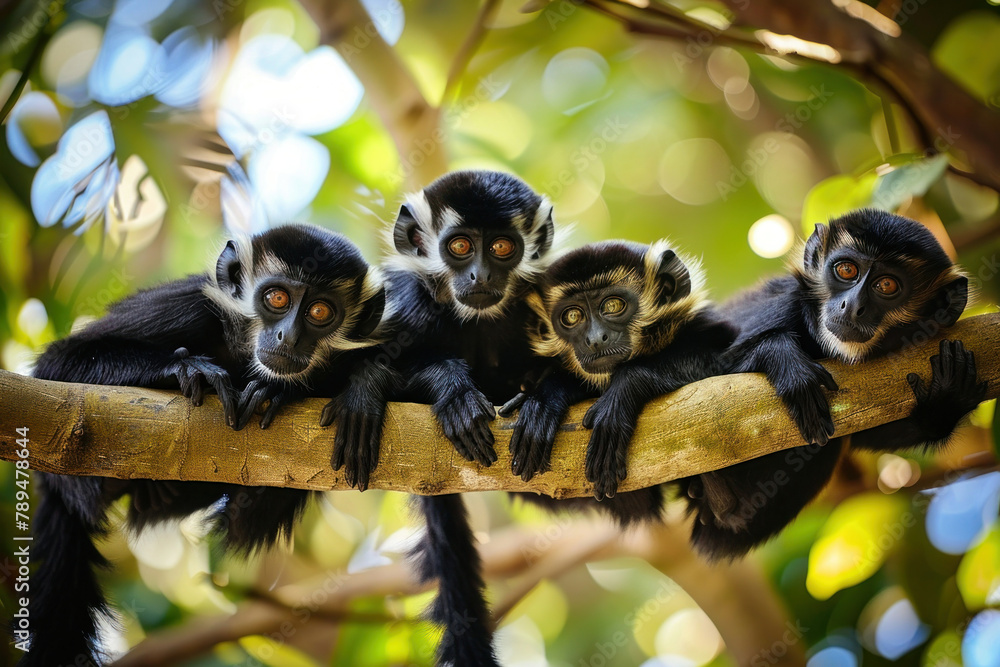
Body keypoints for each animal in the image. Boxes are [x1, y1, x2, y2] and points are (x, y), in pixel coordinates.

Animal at [22, 224, 387, 667]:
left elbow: (245, 522)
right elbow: (55, 366)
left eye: (320, 312)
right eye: (277, 298)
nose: (289, 336)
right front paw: (184, 368)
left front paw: (319, 389)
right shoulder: (191, 306)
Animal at [682, 209, 988, 560]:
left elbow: (861, 435)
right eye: (846, 270)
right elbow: (712, 378)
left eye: (886, 285)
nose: (852, 306)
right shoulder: (781, 302)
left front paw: (948, 399)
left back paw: (725, 503)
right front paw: (787, 365)